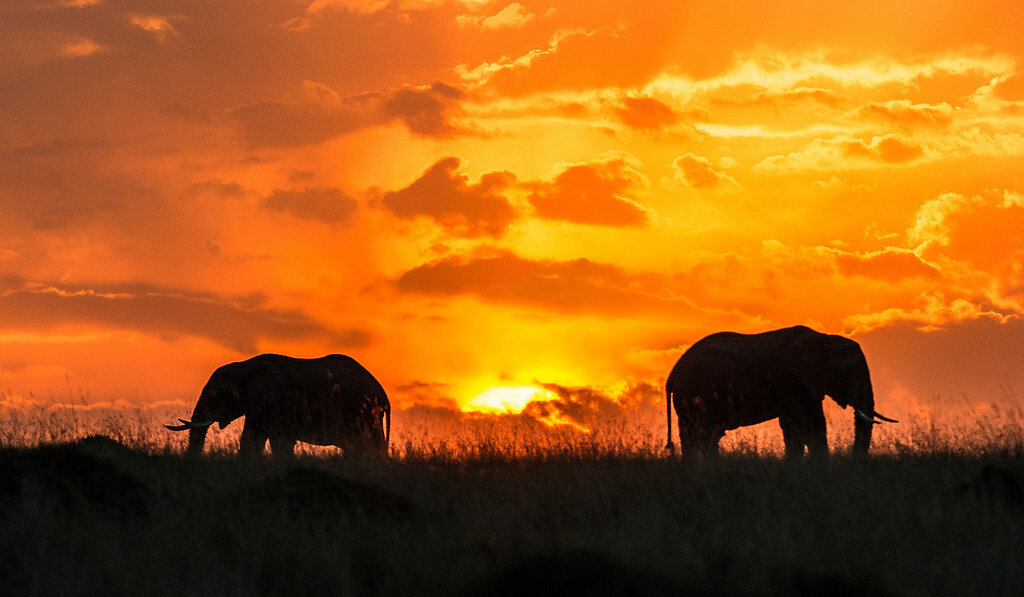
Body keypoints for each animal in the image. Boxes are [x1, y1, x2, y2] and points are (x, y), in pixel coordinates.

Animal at [166, 354, 390, 458]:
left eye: (214, 395)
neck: (244, 366)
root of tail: (383, 395)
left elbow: (253, 437)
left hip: (363, 412)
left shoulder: (268, 401)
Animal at [665, 326, 897, 458]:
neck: (823, 338)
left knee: (706, 435)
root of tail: (671, 377)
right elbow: (810, 422)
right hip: (692, 396)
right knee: (697, 433)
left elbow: (792, 425)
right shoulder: (790, 379)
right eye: (848, 372)